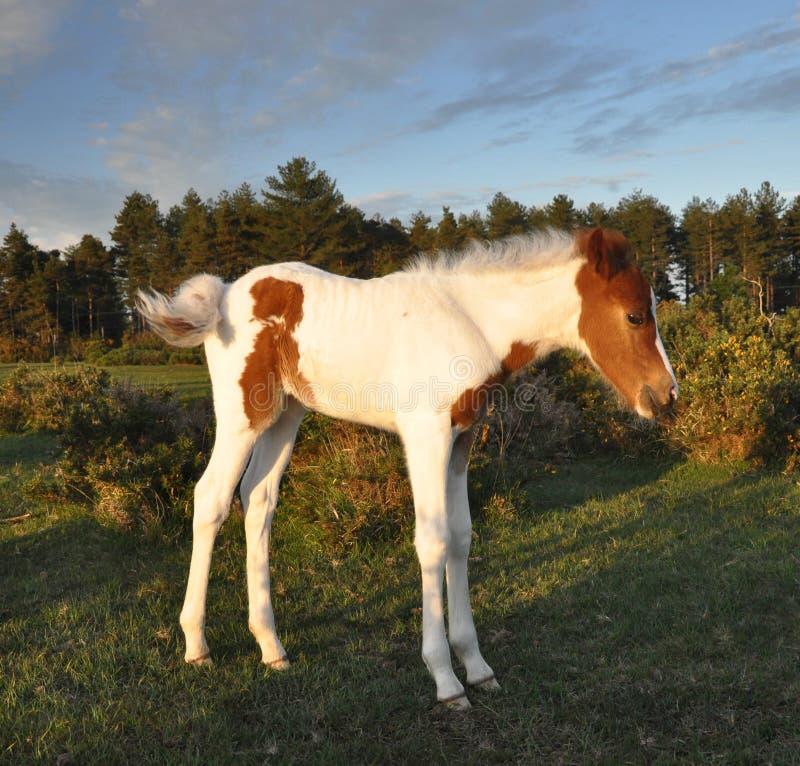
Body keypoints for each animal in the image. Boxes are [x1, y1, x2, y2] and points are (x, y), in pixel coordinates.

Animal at [137, 226, 677, 709]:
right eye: (634, 315)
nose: (666, 395)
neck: (473, 322)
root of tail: (226, 293)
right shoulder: (426, 436)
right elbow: (432, 542)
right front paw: (446, 679)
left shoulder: (462, 439)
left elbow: (461, 537)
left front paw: (477, 667)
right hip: (242, 414)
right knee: (211, 498)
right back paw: (196, 645)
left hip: (285, 414)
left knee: (257, 501)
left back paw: (271, 647)